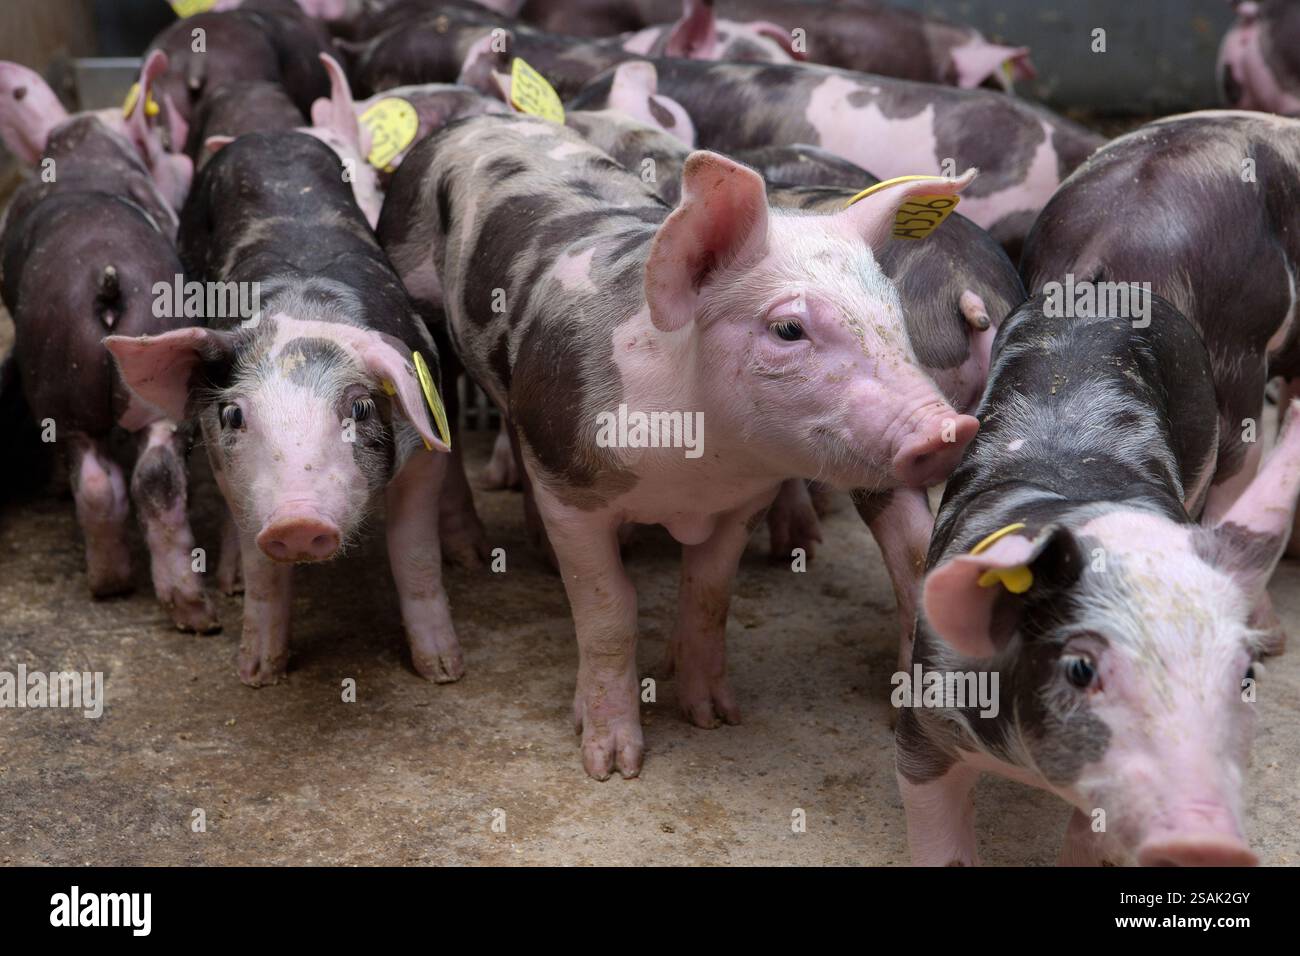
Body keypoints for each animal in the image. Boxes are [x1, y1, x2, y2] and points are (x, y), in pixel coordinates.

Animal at [105, 131, 463, 687]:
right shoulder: (226, 466)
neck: (306, 308)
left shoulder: (425, 459)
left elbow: (415, 557)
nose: (296, 521)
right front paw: (256, 674)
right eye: (233, 415)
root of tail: (262, 135)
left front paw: (443, 670)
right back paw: (229, 582)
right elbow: (264, 574)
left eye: (361, 407)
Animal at [377, 112, 979, 778]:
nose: (949, 429)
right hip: (424, 305)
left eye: (893, 317)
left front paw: (714, 718)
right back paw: (476, 551)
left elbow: (709, 595)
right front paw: (612, 765)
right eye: (787, 328)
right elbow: (609, 609)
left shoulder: (744, 499)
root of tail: (469, 120)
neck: (693, 473)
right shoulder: (572, 485)